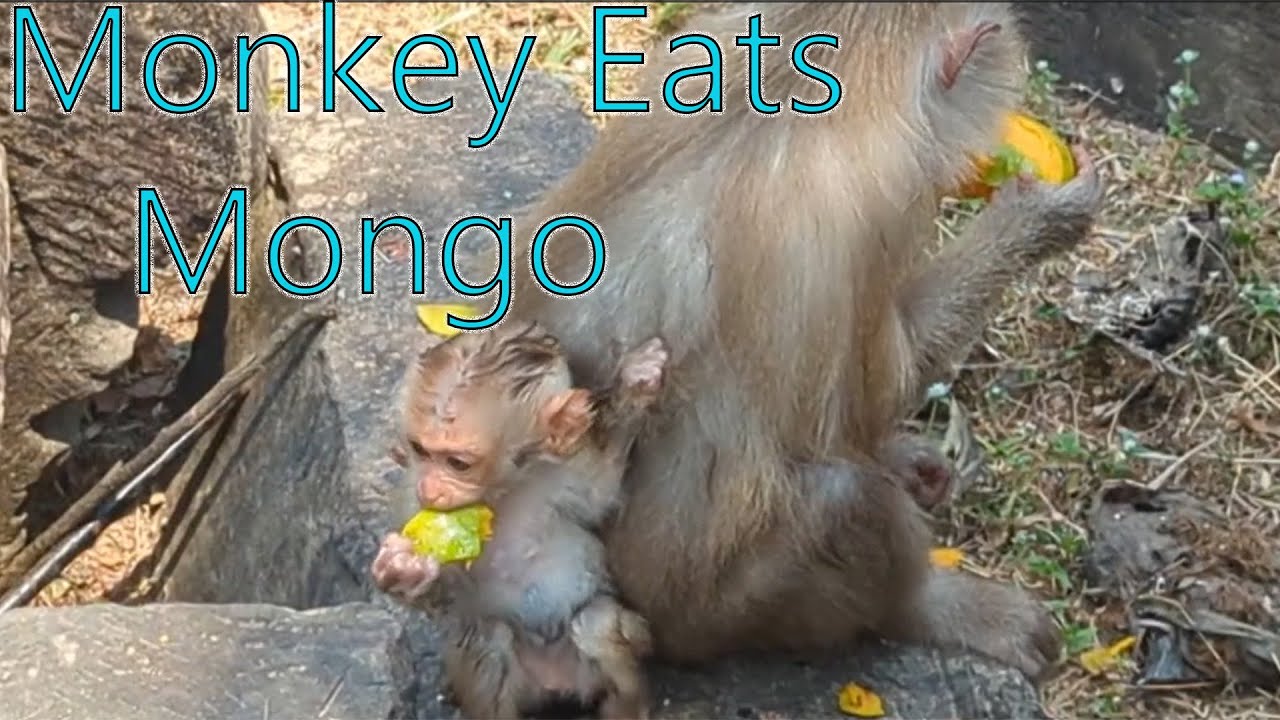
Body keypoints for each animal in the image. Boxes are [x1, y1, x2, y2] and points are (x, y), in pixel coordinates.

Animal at [372, 321, 665, 719]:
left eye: (458, 463)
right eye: (420, 450)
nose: (429, 489)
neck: (504, 492)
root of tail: (555, 681)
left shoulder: (567, 471)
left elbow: (602, 489)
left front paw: (635, 384)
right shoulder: (407, 498)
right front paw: (405, 573)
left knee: (595, 624)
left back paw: (627, 707)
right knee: (490, 639)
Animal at [477, 3, 1106, 682]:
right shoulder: (878, 194)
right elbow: (870, 396)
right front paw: (1035, 219)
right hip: (715, 616)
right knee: (844, 495)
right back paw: (925, 605)